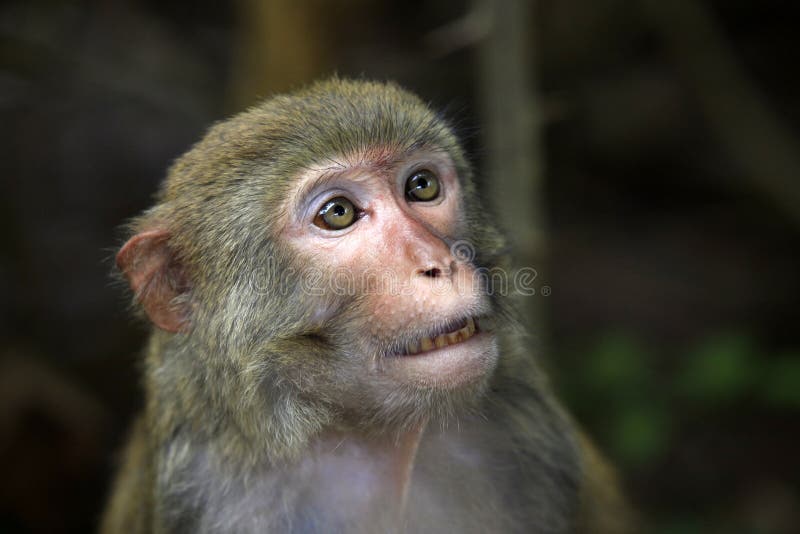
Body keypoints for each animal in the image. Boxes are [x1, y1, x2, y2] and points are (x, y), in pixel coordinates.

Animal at [101, 78, 632, 533]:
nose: (438, 263)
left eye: (422, 185)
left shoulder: (531, 440)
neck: (369, 439)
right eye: (337, 213)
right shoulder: (213, 496)